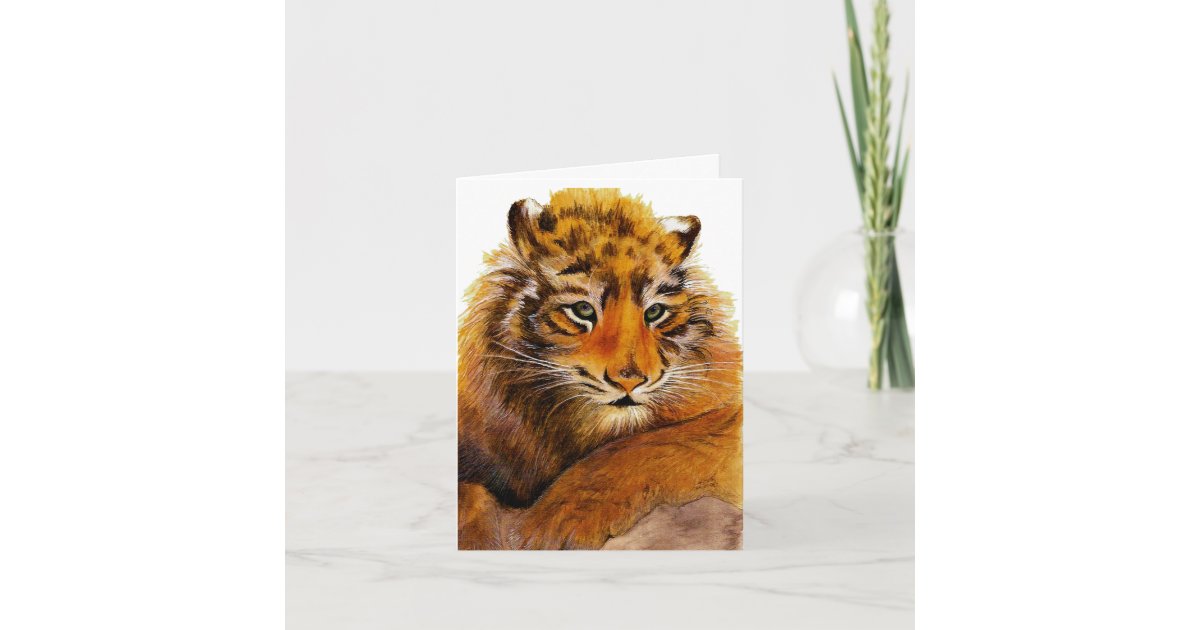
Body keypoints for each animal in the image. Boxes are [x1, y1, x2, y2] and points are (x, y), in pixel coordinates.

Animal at [457, 188, 742, 550]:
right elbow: (466, 497)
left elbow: (651, 445)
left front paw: (551, 524)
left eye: (655, 312)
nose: (630, 381)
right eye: (582, 310)